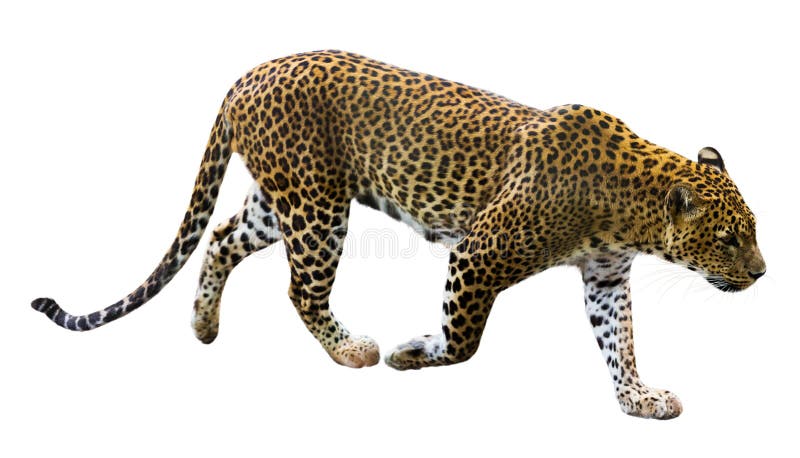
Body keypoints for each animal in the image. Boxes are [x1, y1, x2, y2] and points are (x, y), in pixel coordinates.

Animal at [32, 50, 765, 419]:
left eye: (752, 232)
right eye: (729, 239)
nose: (762, 273)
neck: (629, 208)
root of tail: (246, 76)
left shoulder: (606, 276)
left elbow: (620, 342)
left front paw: (638, 397)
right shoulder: (481, 251)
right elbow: (463, 340)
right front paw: (411, 353)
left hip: (284, 198)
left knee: (219, 240)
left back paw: (204, 325)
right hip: (318, 208)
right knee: (301, 288)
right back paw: (350, 349)